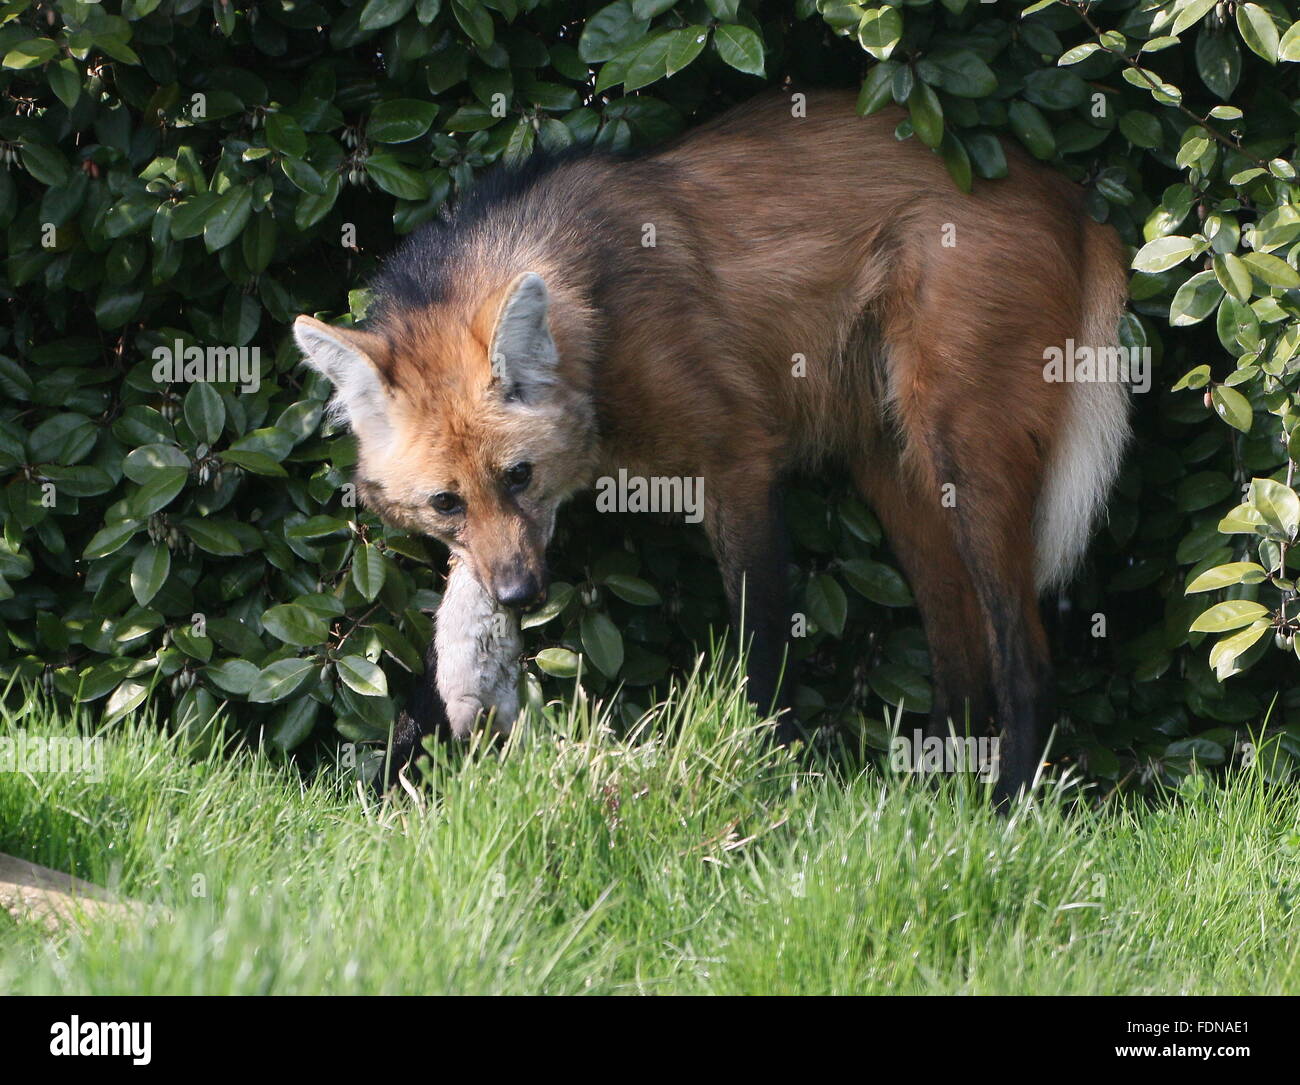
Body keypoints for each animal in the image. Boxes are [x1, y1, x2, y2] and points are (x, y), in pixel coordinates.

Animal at [293, 89, 1131, 803]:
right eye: (445, 502)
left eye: (521, 475)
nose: (523, 596)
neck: (595, 321)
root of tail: (1068, 195)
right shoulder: (505, 542)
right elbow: (449, 642)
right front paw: (394, 781)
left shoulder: (737, 459)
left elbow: (761, 643)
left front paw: (766, 771)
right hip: (895, 464)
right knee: (958, 643)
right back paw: (926, 795)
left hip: (959, 446)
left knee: (1024, 650)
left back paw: (1009, 804)